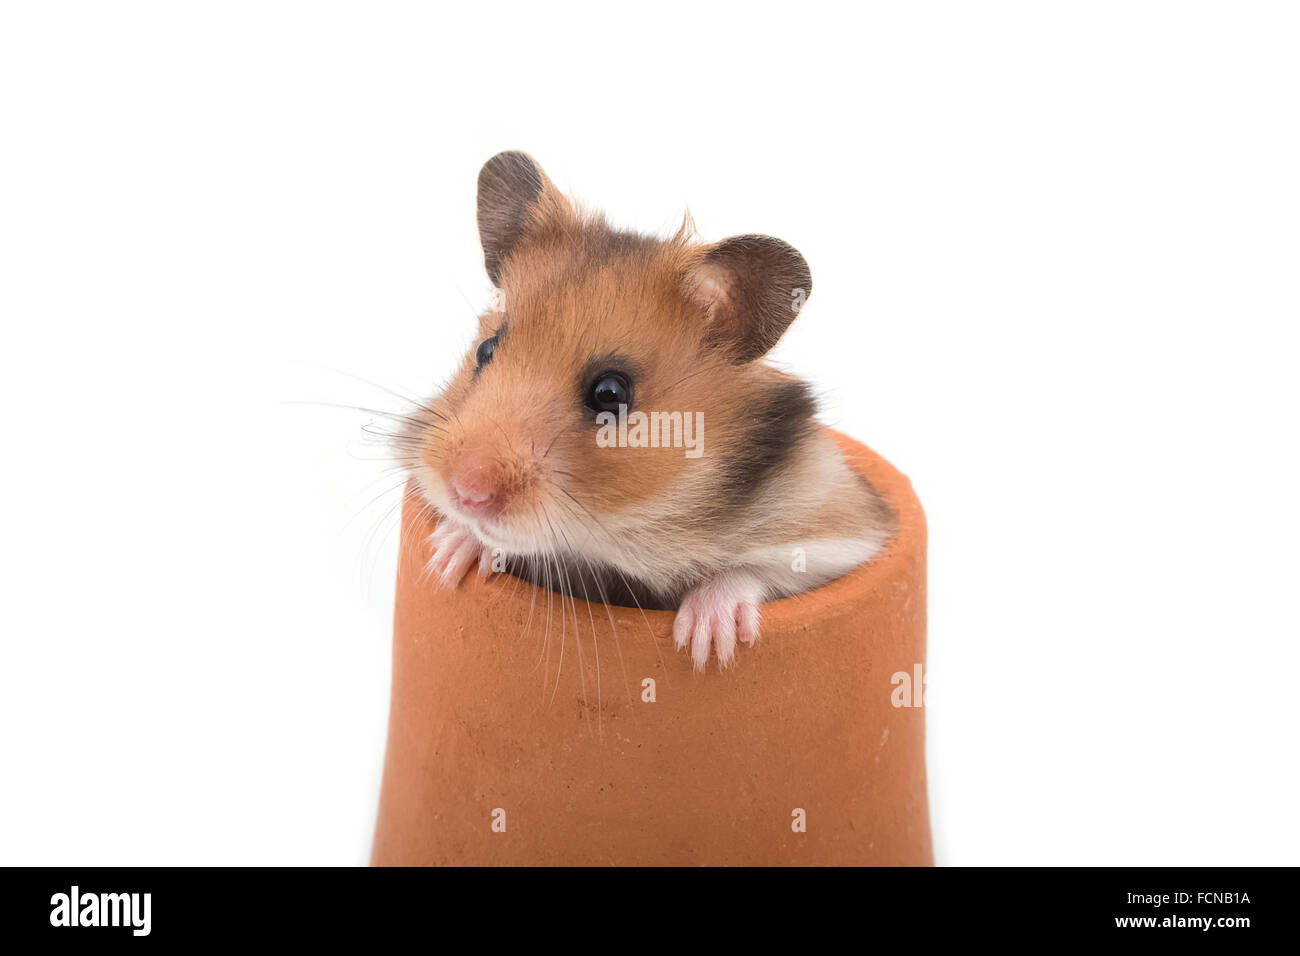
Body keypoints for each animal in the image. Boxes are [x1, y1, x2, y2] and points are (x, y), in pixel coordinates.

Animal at [399, 151, 895, 671]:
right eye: (486, 350)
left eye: (611, 393)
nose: (465, 493)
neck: (627, 530)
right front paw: (447, 556)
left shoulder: (844, 536)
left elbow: (749, 571)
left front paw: (704, 645)